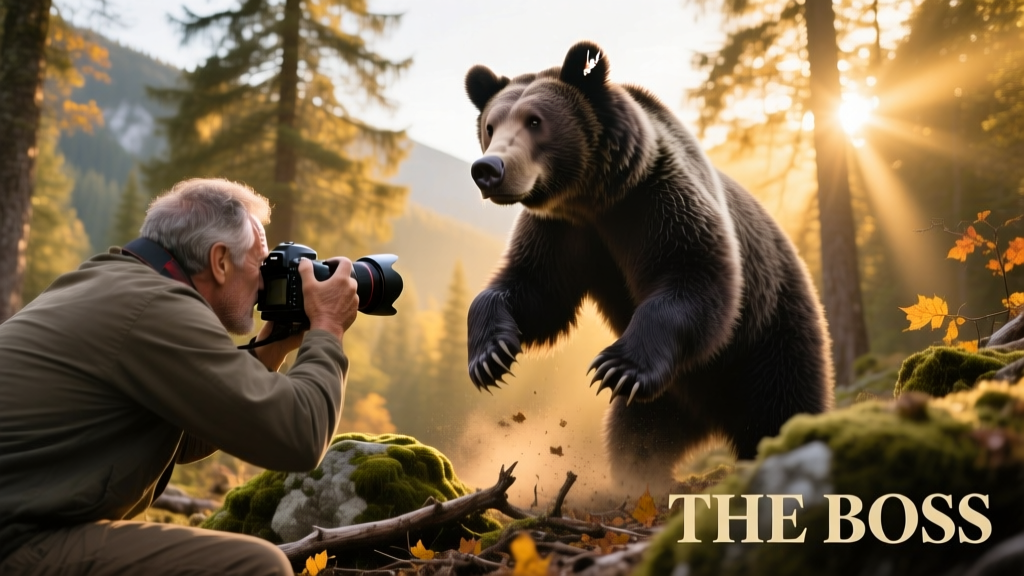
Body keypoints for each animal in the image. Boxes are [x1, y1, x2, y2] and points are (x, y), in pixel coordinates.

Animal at [464, 41, 834, 492]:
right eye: (490, 126)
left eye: (535, 121)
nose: (488, 169)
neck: (595, 198)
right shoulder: (563, 232)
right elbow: (536, 290)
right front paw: (490, 355)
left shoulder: (656, 201)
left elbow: (695, 276)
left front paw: (617, 366)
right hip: (674, 393)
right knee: (638, 429)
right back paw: (646, 476)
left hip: (770, 332)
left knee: (780, 403)